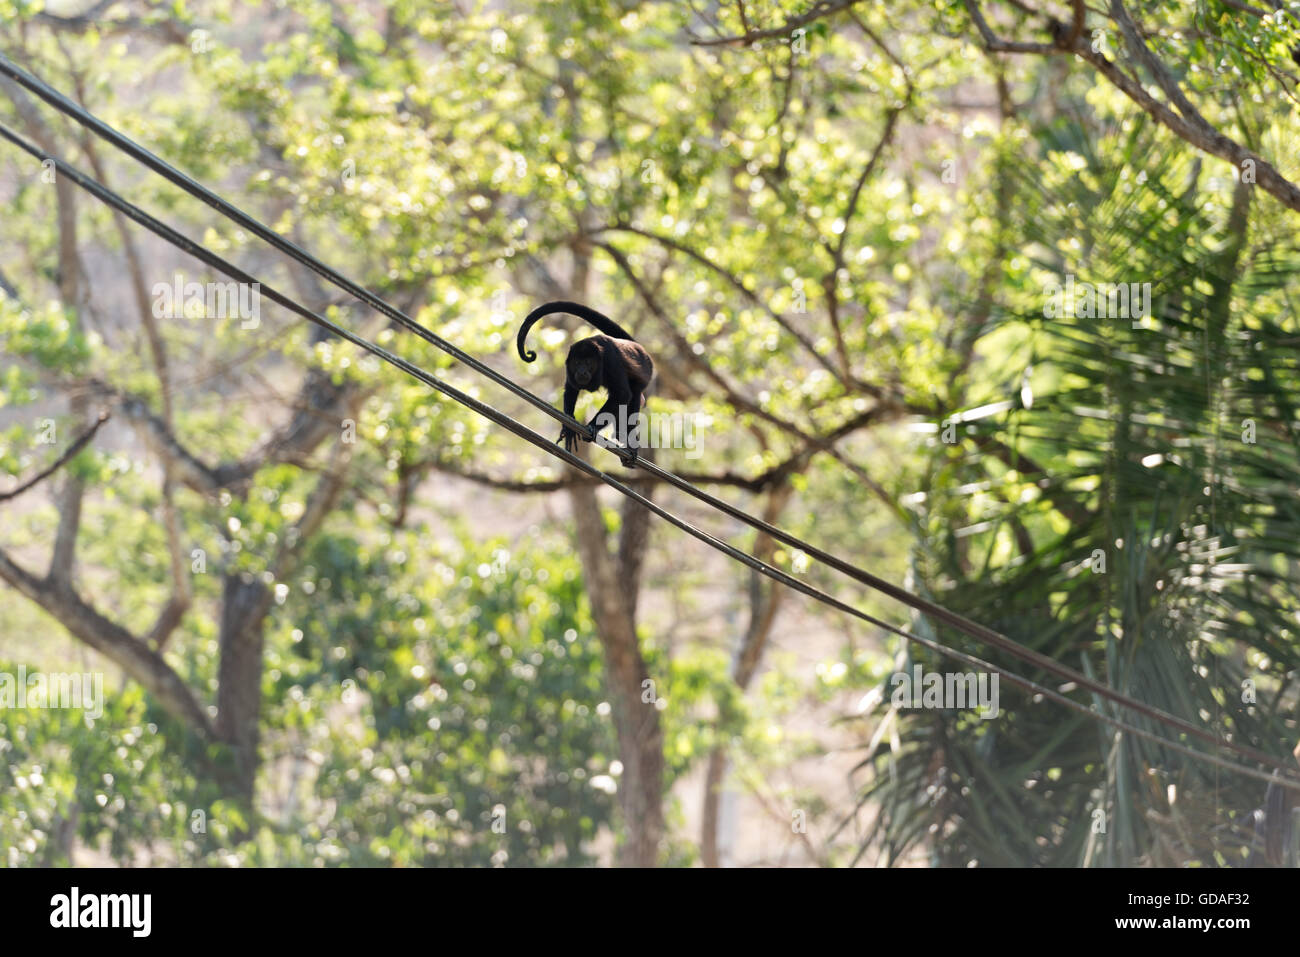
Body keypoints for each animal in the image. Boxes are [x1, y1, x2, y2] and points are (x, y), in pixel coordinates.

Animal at [516, 300, 654, 465]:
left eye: (588, 362)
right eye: (577, 362)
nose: (581, 372)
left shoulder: (610, 358)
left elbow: (622, 394)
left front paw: (592, 427)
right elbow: (571, 388)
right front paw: (568, 429)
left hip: (646, 372)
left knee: (633, 394)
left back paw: (630, 445)